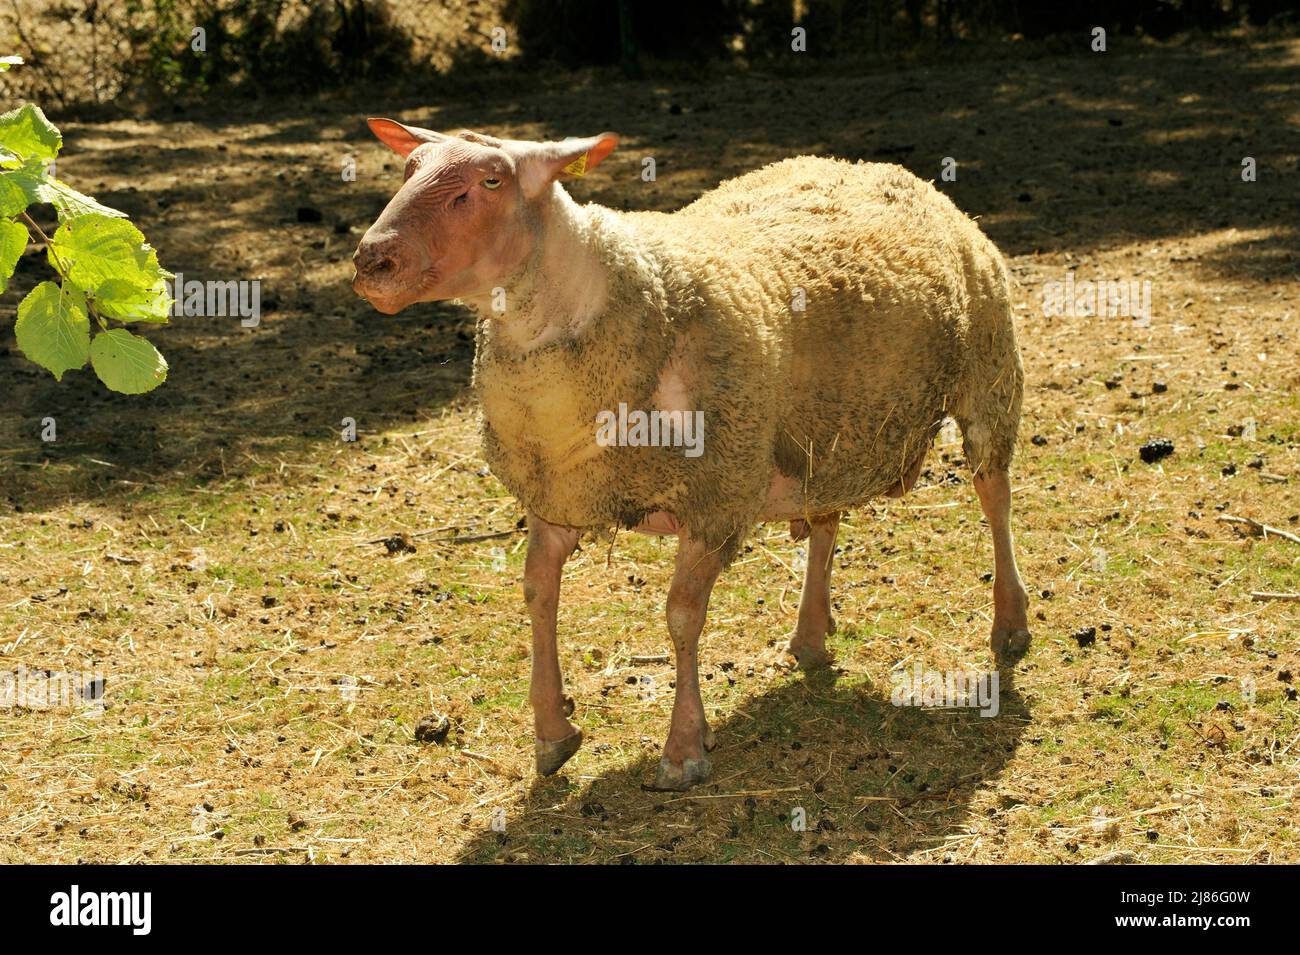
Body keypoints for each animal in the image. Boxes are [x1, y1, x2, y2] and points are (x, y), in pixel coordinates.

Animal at [352, 119, 1031, 790]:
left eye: (491, 181)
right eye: (409, 168)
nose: (371, 260)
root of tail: (878, 168)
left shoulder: (716, 497)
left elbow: (681, 617)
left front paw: (683, 748)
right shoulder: (560, 493)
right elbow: (538, 594)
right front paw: (552, 732)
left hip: (987, 376)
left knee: (995, 496)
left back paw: (1010, 625)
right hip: (821, 427)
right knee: (826, 521)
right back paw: (810, 635)